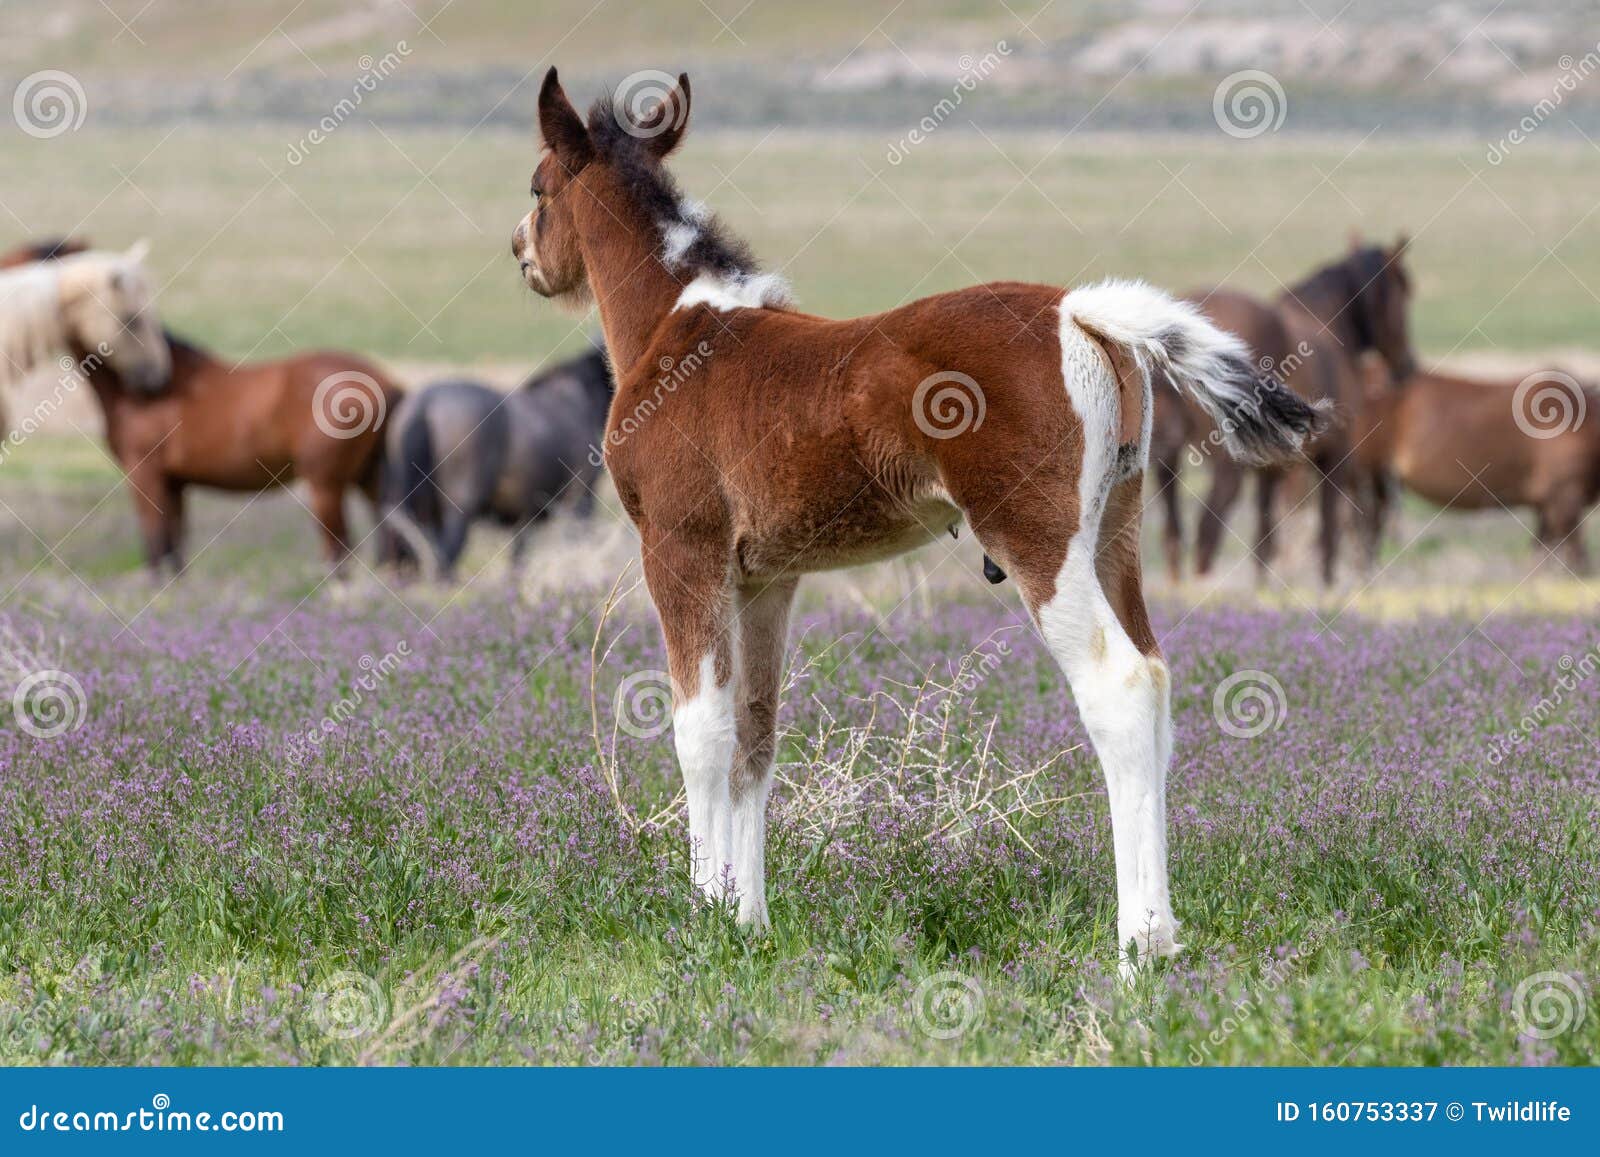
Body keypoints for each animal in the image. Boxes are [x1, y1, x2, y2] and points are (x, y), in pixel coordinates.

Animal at [81, 322, 404, 576]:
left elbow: (157, 544)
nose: (148, 377)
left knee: (339, 550)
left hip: (326, 485)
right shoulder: (174, 483)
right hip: (368, 480)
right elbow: (175, 548)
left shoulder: (146, 474)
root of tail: (385, 382)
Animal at [382, 341, 613, 578]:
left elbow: (518, 557)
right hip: (460, 509)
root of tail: (424, 404)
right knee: (446, 555)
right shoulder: (580, 498)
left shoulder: (524, 517)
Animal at [511, 69, 1324, 966]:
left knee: (1121, 687)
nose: (522, 254)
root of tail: (1078, 312)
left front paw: (700, 918)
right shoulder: (765, 578)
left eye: (538, 188)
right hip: (1117, 532)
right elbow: (756, 736)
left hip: (1039, 541)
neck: (678, 331)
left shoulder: (681, 551)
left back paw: (1139, 943)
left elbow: (701, 731)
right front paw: (745, 922)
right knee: (1157, 678)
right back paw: (1167, 935)